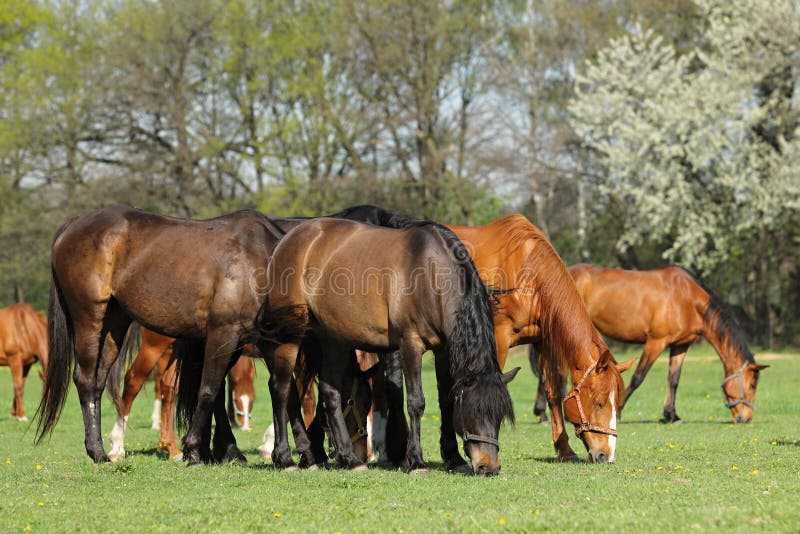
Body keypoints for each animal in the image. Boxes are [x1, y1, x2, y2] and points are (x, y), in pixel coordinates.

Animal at [255, 216, 518, 475]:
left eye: (500, 416)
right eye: (476, 411)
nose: (489, 467)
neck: (431, 274)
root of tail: (284, 243)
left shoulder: (443, 351)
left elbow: (445, 401)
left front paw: (454, 459)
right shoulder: (410, 345)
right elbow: (416, 402)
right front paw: (417, 462)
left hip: (333, 339)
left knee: (330, 394)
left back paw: (351, 459)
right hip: (290, 336)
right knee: (281, 389)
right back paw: (285, 459)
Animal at [562, 264, 768, 423]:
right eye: (753, 385)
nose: (746, 417)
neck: (686, 297)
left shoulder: (680, 346)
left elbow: (673, 380)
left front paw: (671, 416)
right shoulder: (656, 342)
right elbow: (637, 377)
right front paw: (618, 413)